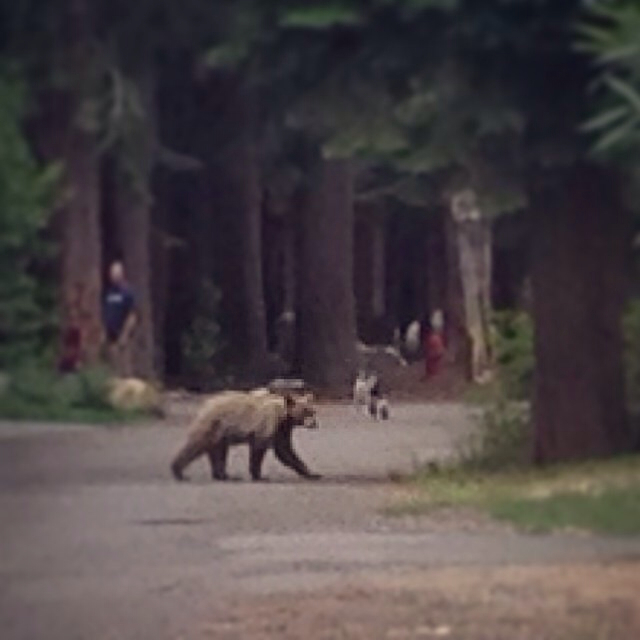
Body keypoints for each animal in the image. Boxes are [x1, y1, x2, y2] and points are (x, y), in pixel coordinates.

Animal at [170, 390, 320, 482]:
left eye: (313, 411)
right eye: (306, 411)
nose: (314, 423)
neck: (285, 417)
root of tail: (205, 404)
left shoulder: (283, 429)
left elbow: (285, 450)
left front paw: (312, 473)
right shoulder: (268, 424)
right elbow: (259, 448)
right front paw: (259, 475)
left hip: (220, 434)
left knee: (218, 451)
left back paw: (223, 475)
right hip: (213, 423)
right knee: (196, 444)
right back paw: (178, 471)